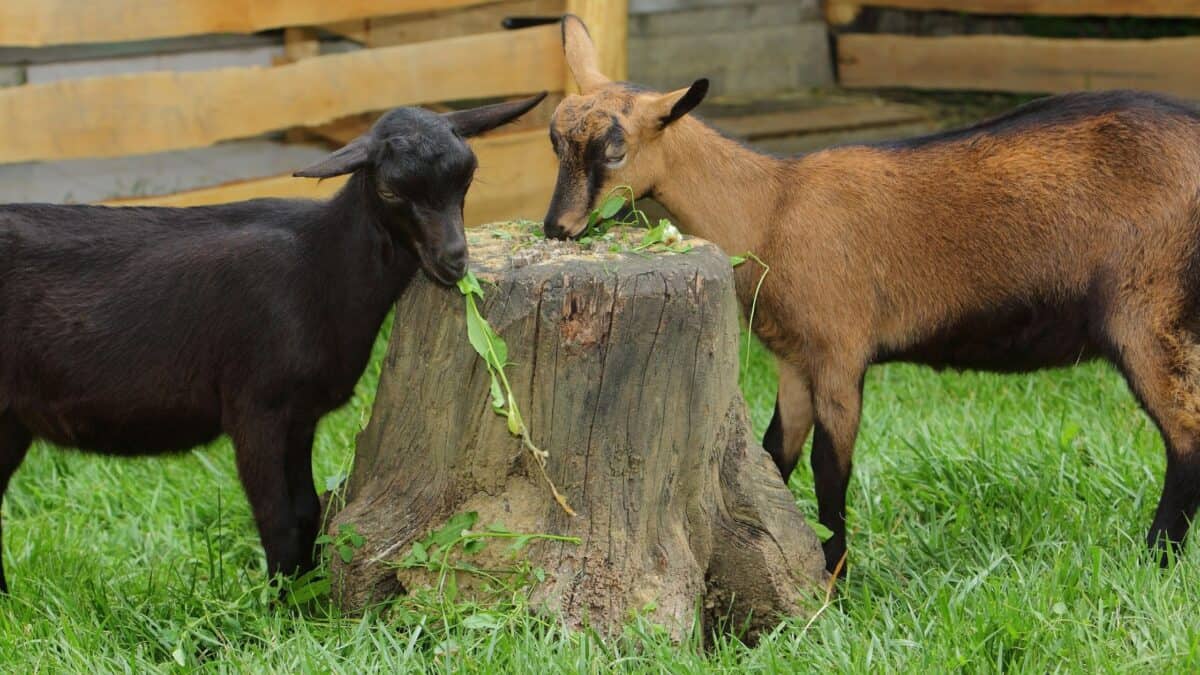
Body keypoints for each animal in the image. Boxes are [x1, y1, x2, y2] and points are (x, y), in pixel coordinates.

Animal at [0, 93, 546, 591]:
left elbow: (306, 509)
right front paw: (281, 605)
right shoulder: (255, 407)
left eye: (467, 179)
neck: (323, 265)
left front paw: (304, 588)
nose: (453, 261)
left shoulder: (300, 415)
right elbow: (276, 517)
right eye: (391, 191)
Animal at [543, 14, 1200, 575]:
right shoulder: (795, 359)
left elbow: (830, 471)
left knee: (1187, 436)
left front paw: (833, 581)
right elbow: (774, 456)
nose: (557, 228)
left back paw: (1155, 560)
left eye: (615, 150)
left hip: (1146, 309)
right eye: (555, 141)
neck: (770, 207)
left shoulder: (839, 351)